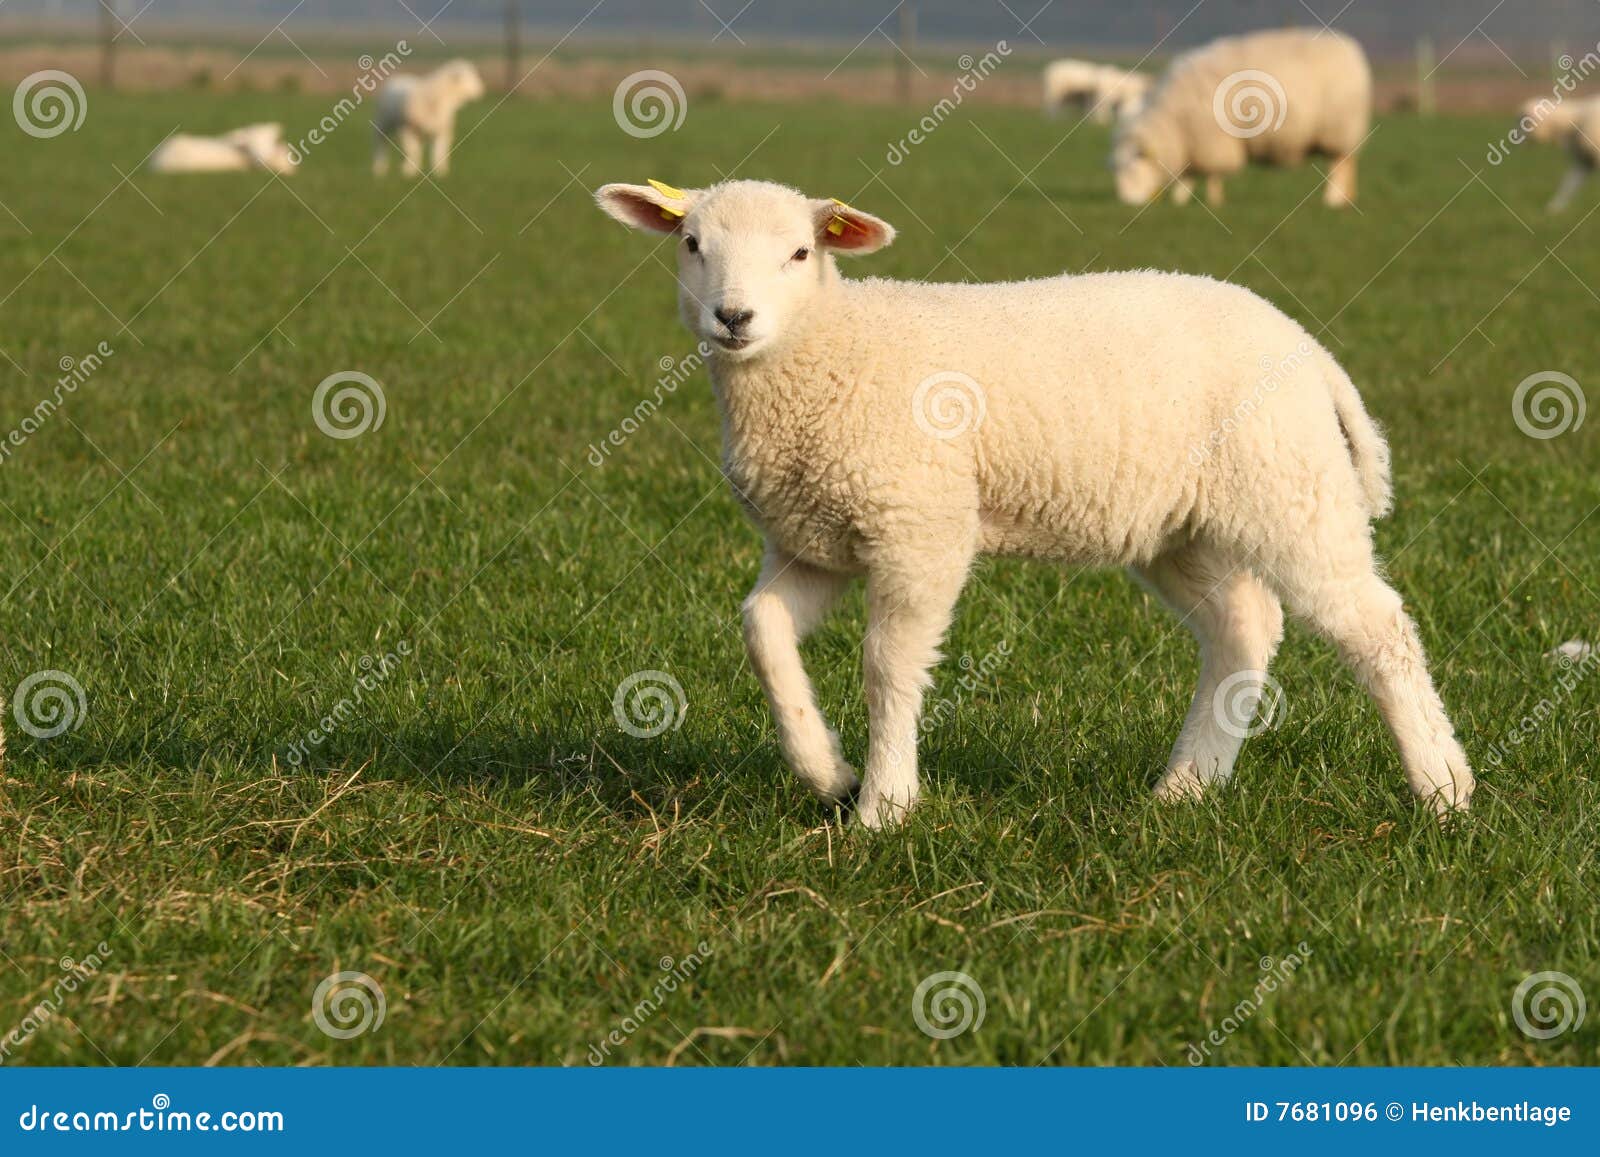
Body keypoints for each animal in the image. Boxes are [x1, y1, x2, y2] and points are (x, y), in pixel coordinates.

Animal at [593, 177, 1475, 830]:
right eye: (691, 244)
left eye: (801, 251)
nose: (732, 317)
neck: (827, 350)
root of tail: (1308, 347)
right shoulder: (816, 540)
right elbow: (762, 631)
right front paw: (825, 770)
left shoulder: (920, 526)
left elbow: (887, 665)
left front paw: (884, 804)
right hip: (1183, 527)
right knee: (1244, 630)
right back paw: (1186, 787)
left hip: (1291, 490)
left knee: (1379, 629)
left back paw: (1443, 787)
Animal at [1113, 28, 1370, 208]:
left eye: (1132, 168)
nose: (1126, 203)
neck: (1172, 119)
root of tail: (1351, 50)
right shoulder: (1194, 143)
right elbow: (1188, 173)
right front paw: (1181, 199)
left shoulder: (1212, 139)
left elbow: (1212, 173)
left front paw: (1213, 200)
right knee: (1347, 164)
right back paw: (1345, 199)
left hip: (1339, 129)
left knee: (1339, 166)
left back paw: (1332, 200)